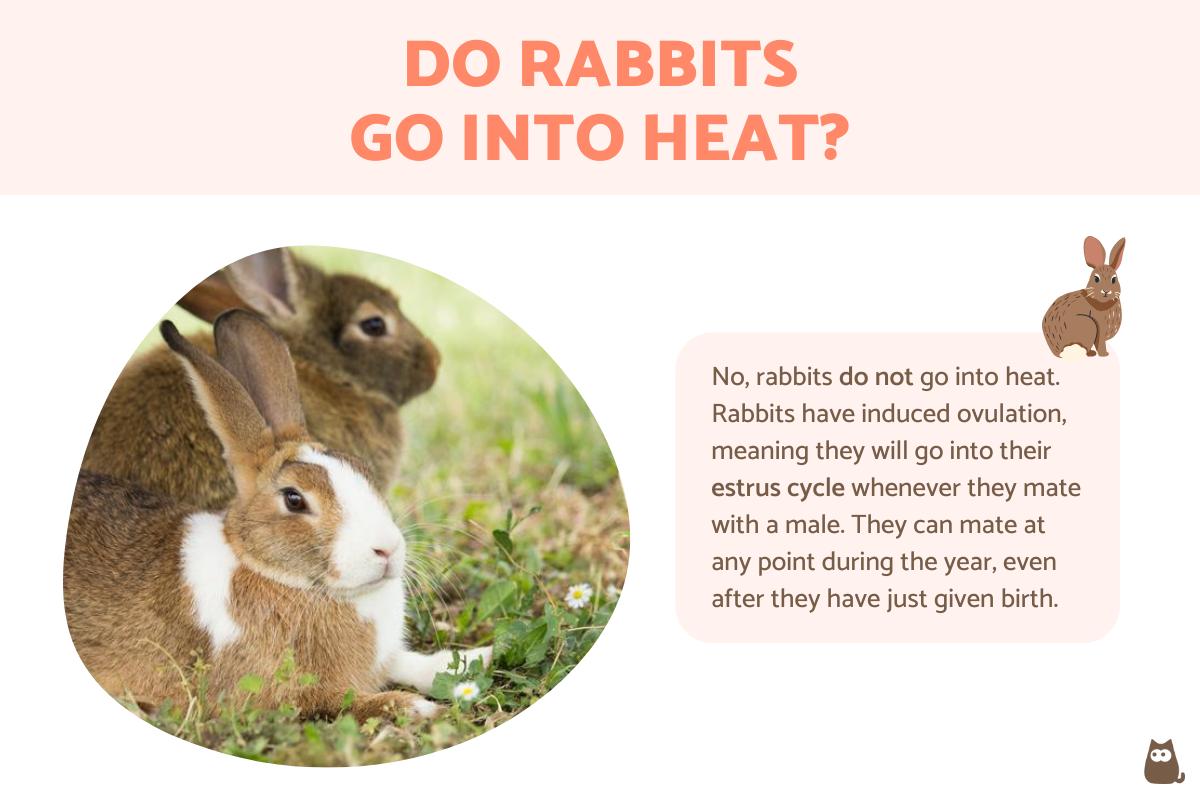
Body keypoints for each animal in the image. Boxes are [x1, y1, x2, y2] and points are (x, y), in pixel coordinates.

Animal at [65, 310, 489, 721]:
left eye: (363, 469)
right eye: (294, 499)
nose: (387, 549)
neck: (272, 572)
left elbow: (408, 662)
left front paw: (476, 657)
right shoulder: (274, 691)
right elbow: (340, 699)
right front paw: (415, 707)